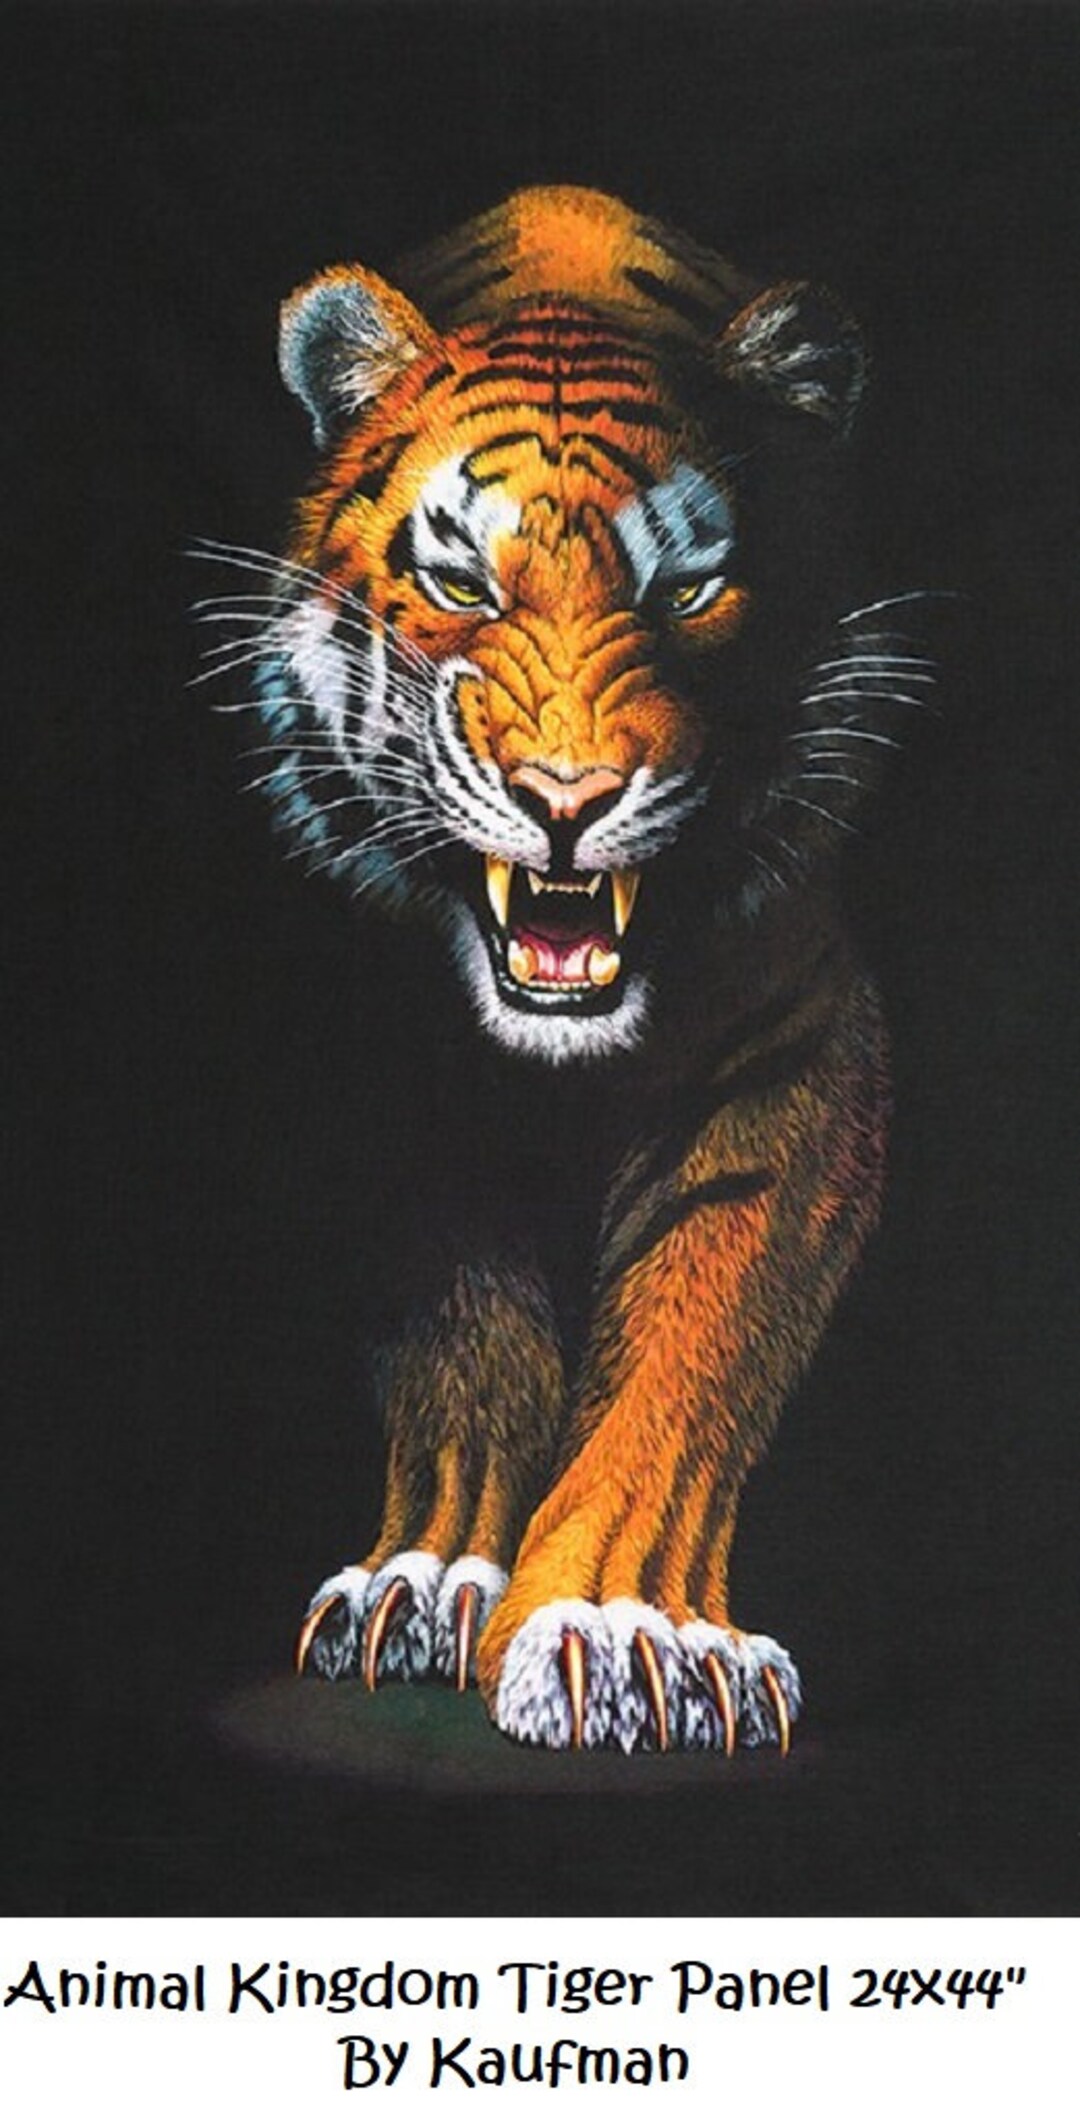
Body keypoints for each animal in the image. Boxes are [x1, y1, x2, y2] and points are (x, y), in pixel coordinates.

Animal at [201, 185, 922, 1752]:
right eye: (460, 577)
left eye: (691, 589)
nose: (569, 796)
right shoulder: (387, 1077)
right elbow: (465, 1345)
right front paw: (430, 1580)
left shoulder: (799, 1057)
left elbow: (689, 1366)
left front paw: (631, 1631)